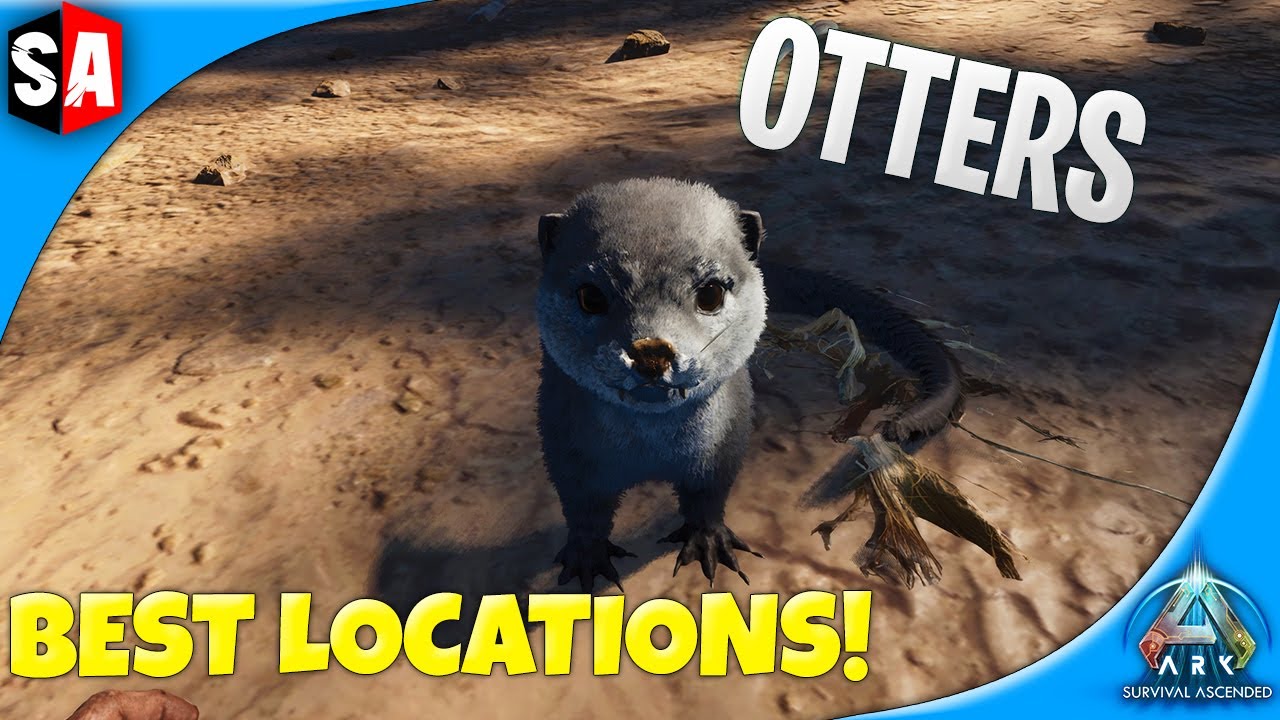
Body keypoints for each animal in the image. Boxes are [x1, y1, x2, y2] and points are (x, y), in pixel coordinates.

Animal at [536, 178, 961, 590]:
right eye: (590, 296)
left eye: (710, 292)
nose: (651, 352)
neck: (651, 453)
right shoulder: (565, 450)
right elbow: (583, 509)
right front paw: (587, 559)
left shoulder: (725, 444)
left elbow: (708, 498)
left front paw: (709, 543)